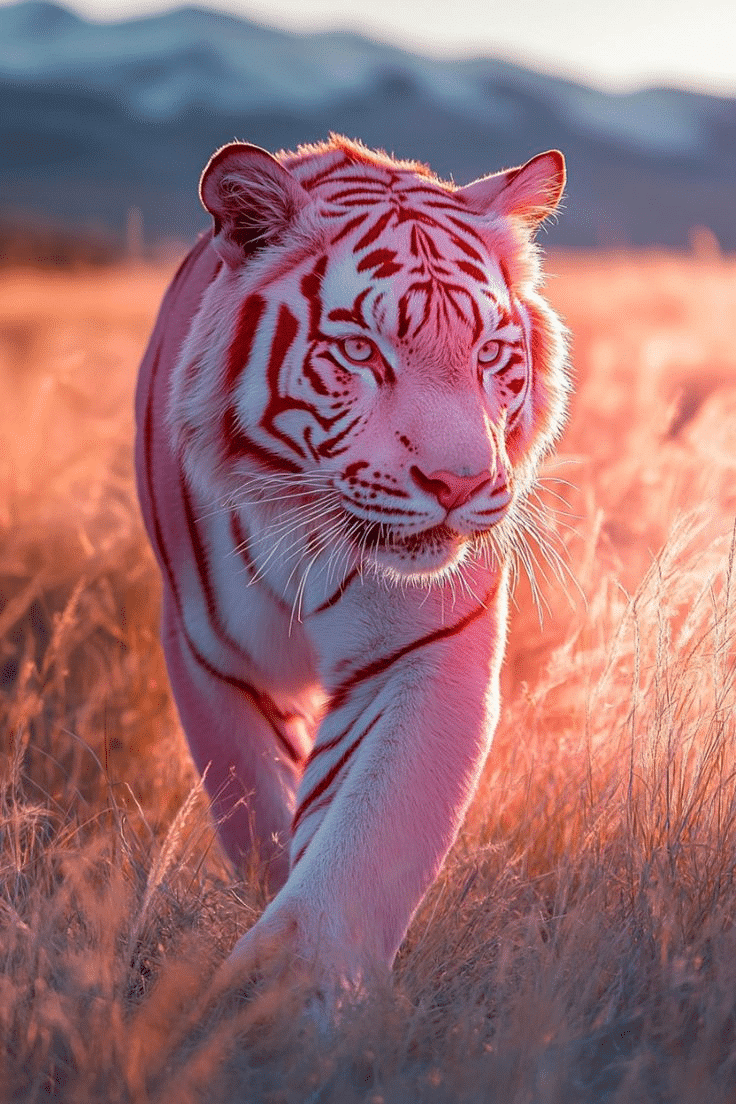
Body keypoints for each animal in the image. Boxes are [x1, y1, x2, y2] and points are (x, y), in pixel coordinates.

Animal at [135, 134, 569, 1008]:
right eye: (362, 351)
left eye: (489, 354)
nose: (460, 484)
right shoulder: (210, 656)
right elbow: (259, 814)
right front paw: (259, 1006)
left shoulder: (420, 650)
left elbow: (364, 843)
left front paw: (289, 1000)